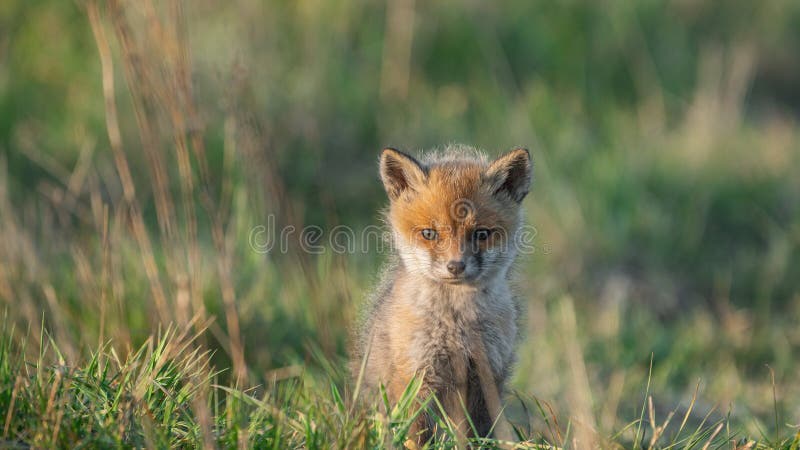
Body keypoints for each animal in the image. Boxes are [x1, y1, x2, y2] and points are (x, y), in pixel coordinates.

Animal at [352, 145, 532, 445]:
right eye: (429, 233)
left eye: (481, 234)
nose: (455, 266)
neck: (456, 325)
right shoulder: (416, 376)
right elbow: (416, 435)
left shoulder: (486, 375)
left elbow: (477, 435)